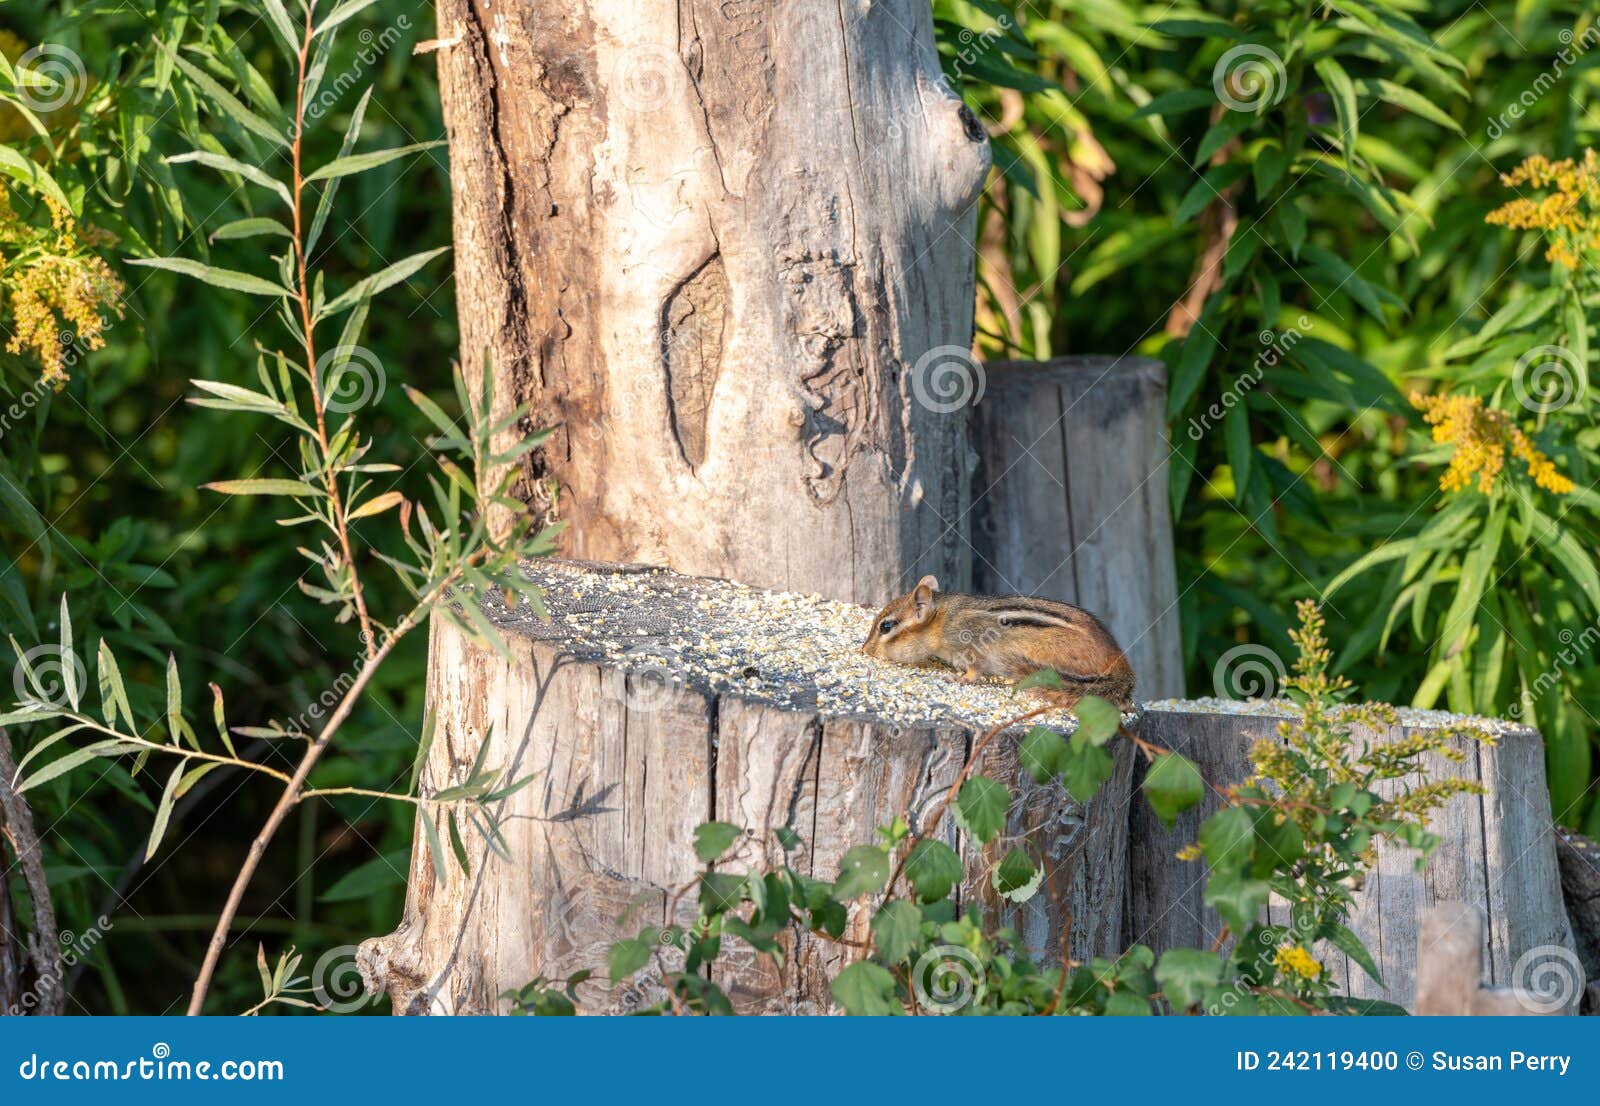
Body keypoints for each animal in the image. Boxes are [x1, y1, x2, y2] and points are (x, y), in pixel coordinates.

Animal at [862, 575, 1135, 710]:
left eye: (886, 627)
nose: (865, 650)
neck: (942, 619)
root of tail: (1120, 663)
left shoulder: (971, 647)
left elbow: (974, 671)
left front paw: (959, 678)